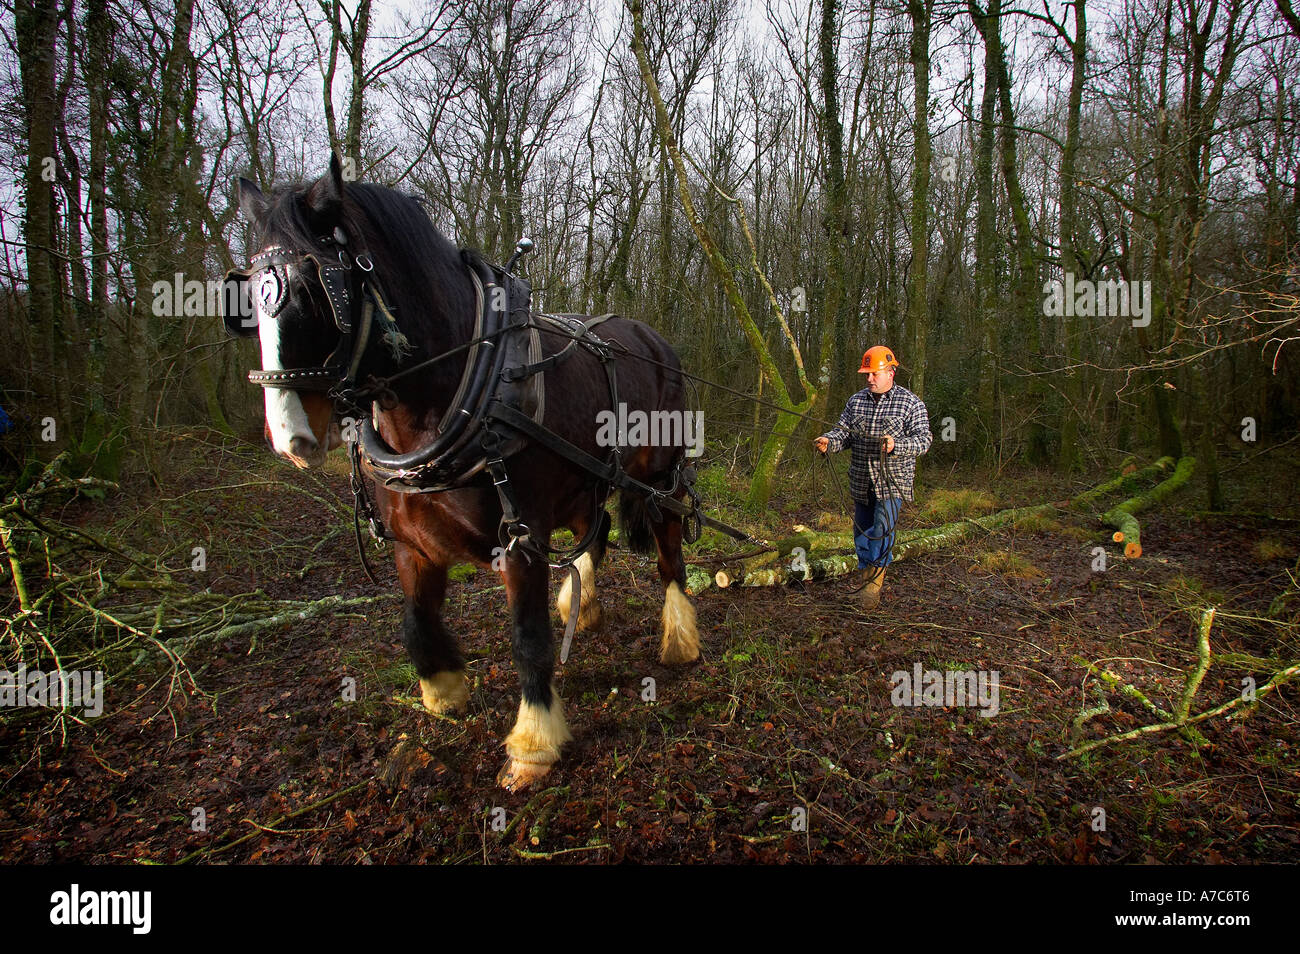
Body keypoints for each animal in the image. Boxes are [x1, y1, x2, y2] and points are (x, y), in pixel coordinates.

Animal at [223, 154, 700, 790]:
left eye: (315, 289)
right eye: (249, 298)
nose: (288, 434)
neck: (458, 391)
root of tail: (653, 338)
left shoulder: (520, 540)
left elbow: (527, 638)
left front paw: (533, 742)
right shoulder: (412, 546)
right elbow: (415, 622)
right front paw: (443, 689)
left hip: (660, 475)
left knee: (669, 547)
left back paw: (679, 635)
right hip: (590, 478)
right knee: (593, 533)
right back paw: (581, 605)